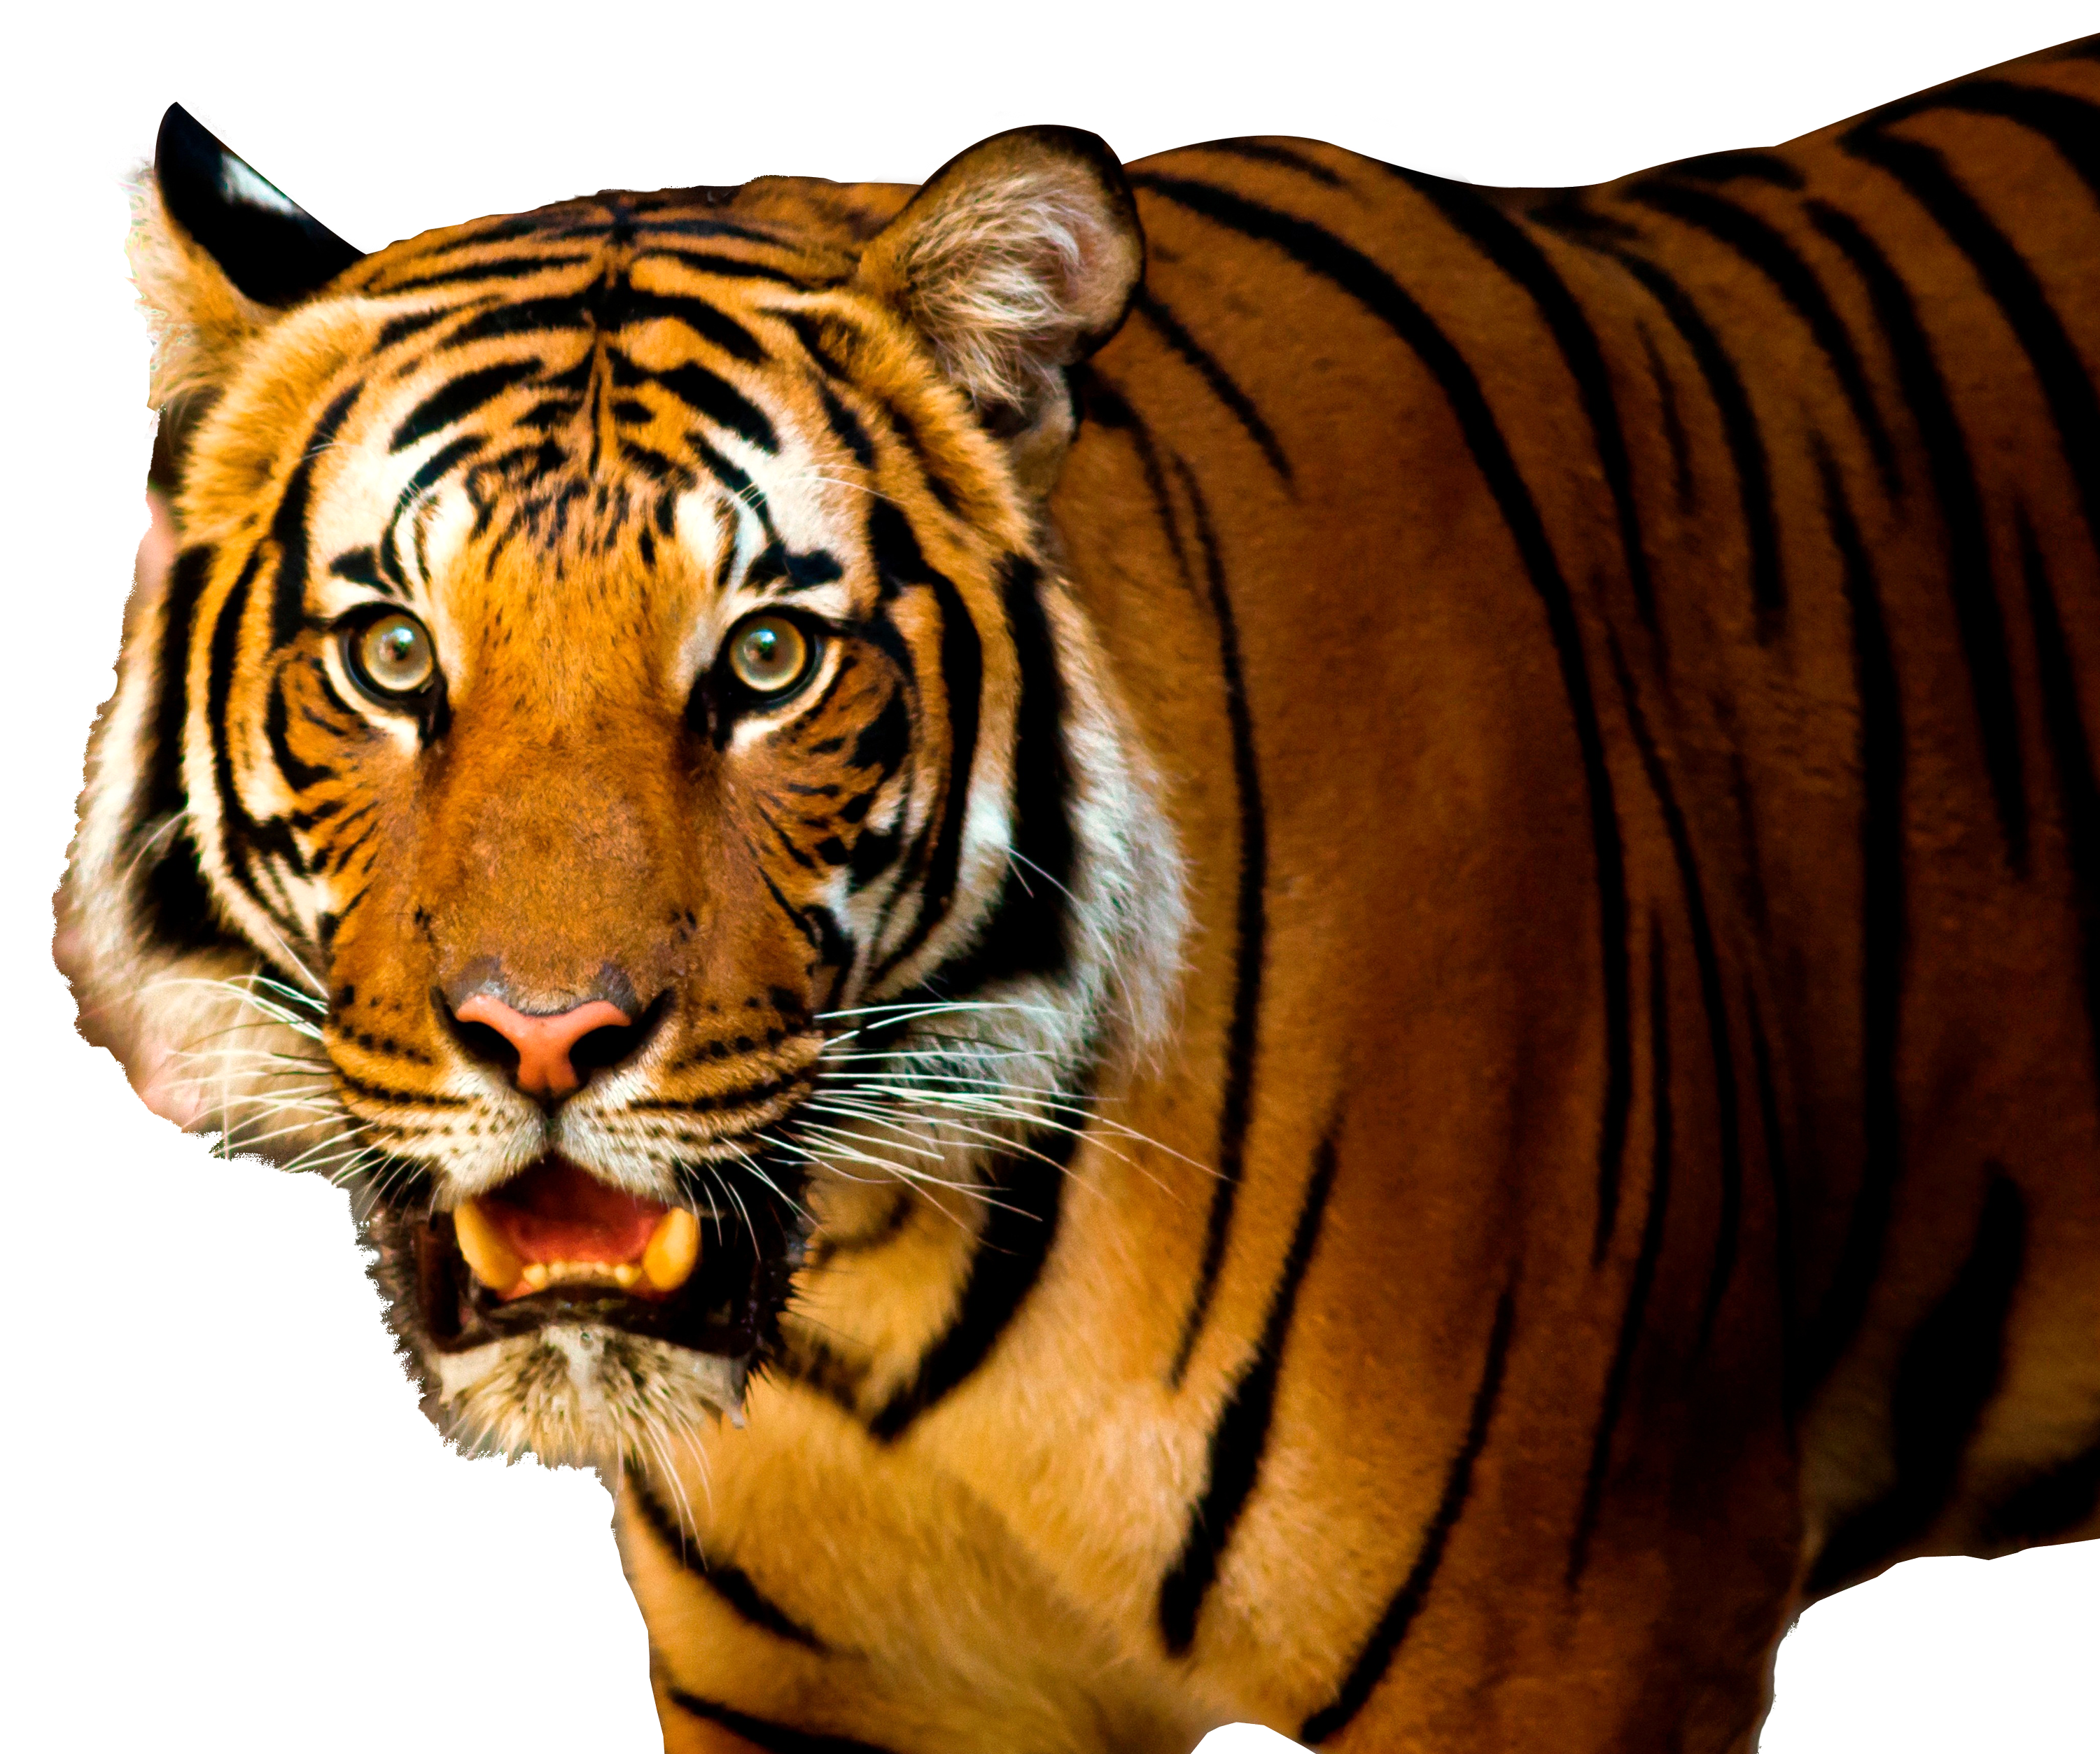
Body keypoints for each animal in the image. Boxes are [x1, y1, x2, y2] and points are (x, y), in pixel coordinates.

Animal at [59, 43, 2100, 1754]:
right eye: (395, 656)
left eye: (771, 659)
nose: (544, 1039)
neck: (886, 1298)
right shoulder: (821, 1696)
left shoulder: (1579, 1635)